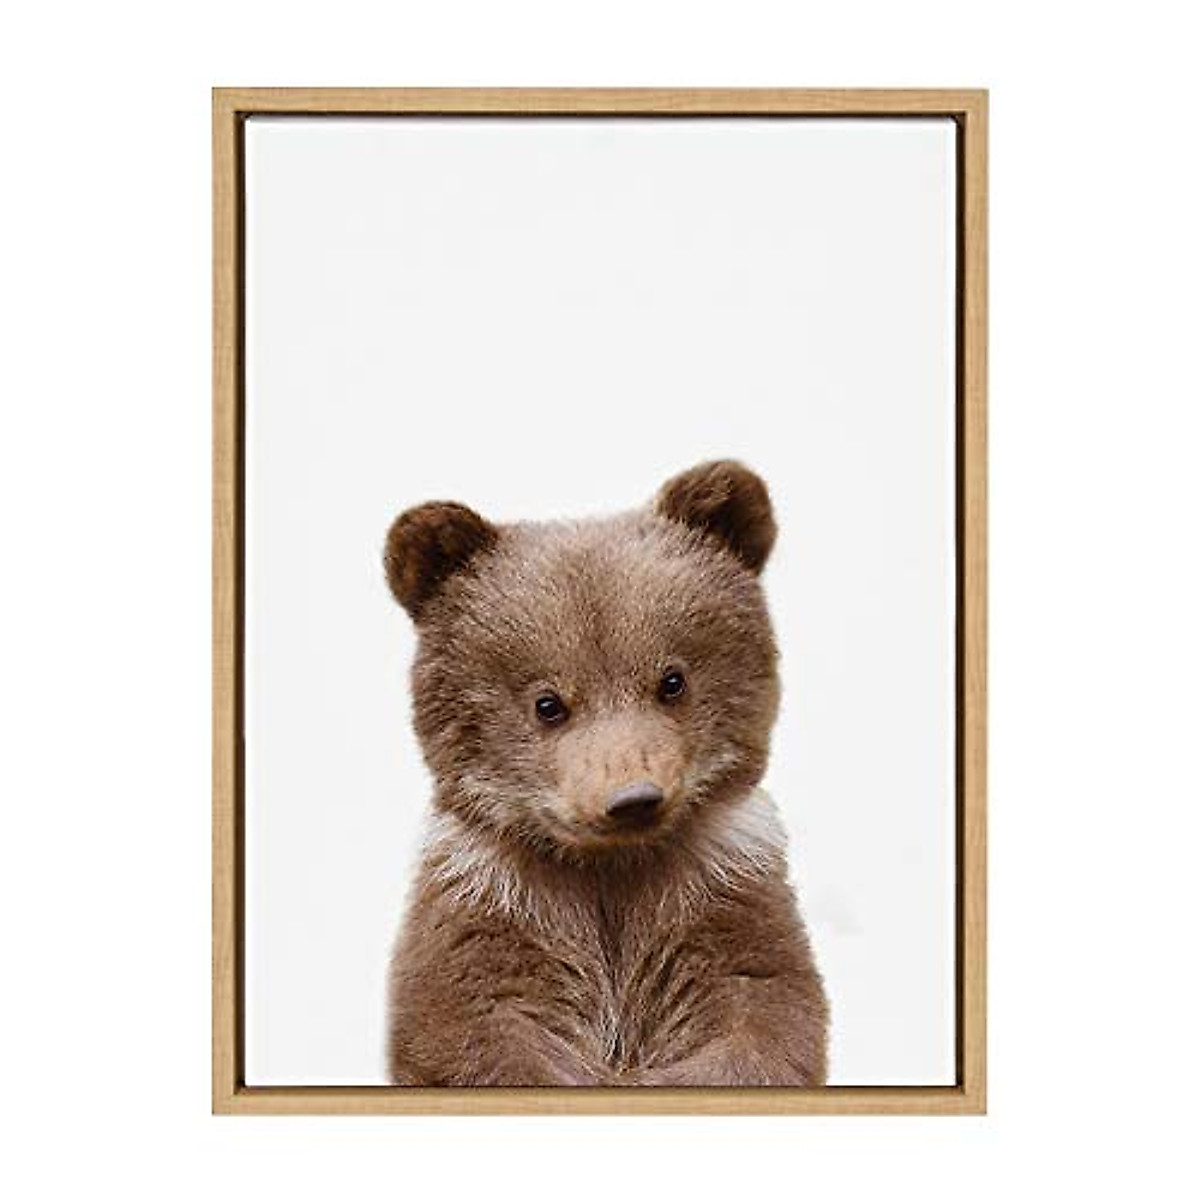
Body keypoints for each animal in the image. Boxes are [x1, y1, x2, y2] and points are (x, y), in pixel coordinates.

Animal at [382, 460, 828, 1086]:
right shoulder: (493, 904)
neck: (608, 867)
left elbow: (759, 1015)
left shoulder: (723, 894)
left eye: (672, 680)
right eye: (547, 703)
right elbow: (477, 1028)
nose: (633, 798)